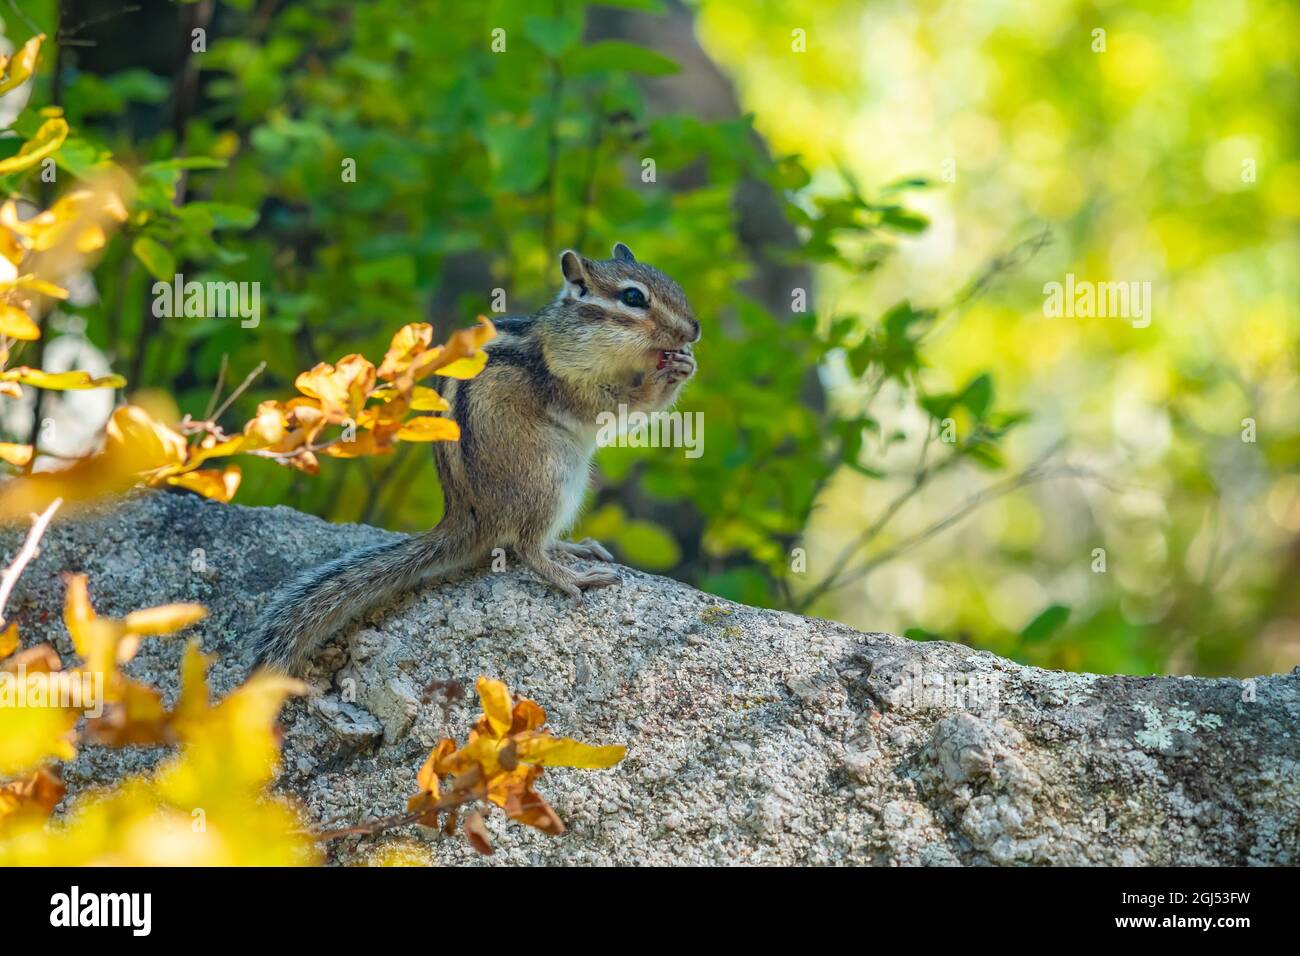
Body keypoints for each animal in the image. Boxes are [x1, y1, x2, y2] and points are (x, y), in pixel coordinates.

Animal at [247, 243, 699, 674]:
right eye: (633, 297)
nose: (694, 329)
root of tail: (467, 515)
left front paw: (684, 364)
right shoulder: (569, 381)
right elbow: (618, 406)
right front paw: (661, 380)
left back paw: (573, 548)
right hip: (550, 476)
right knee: (526, 546)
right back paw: (571, 578)